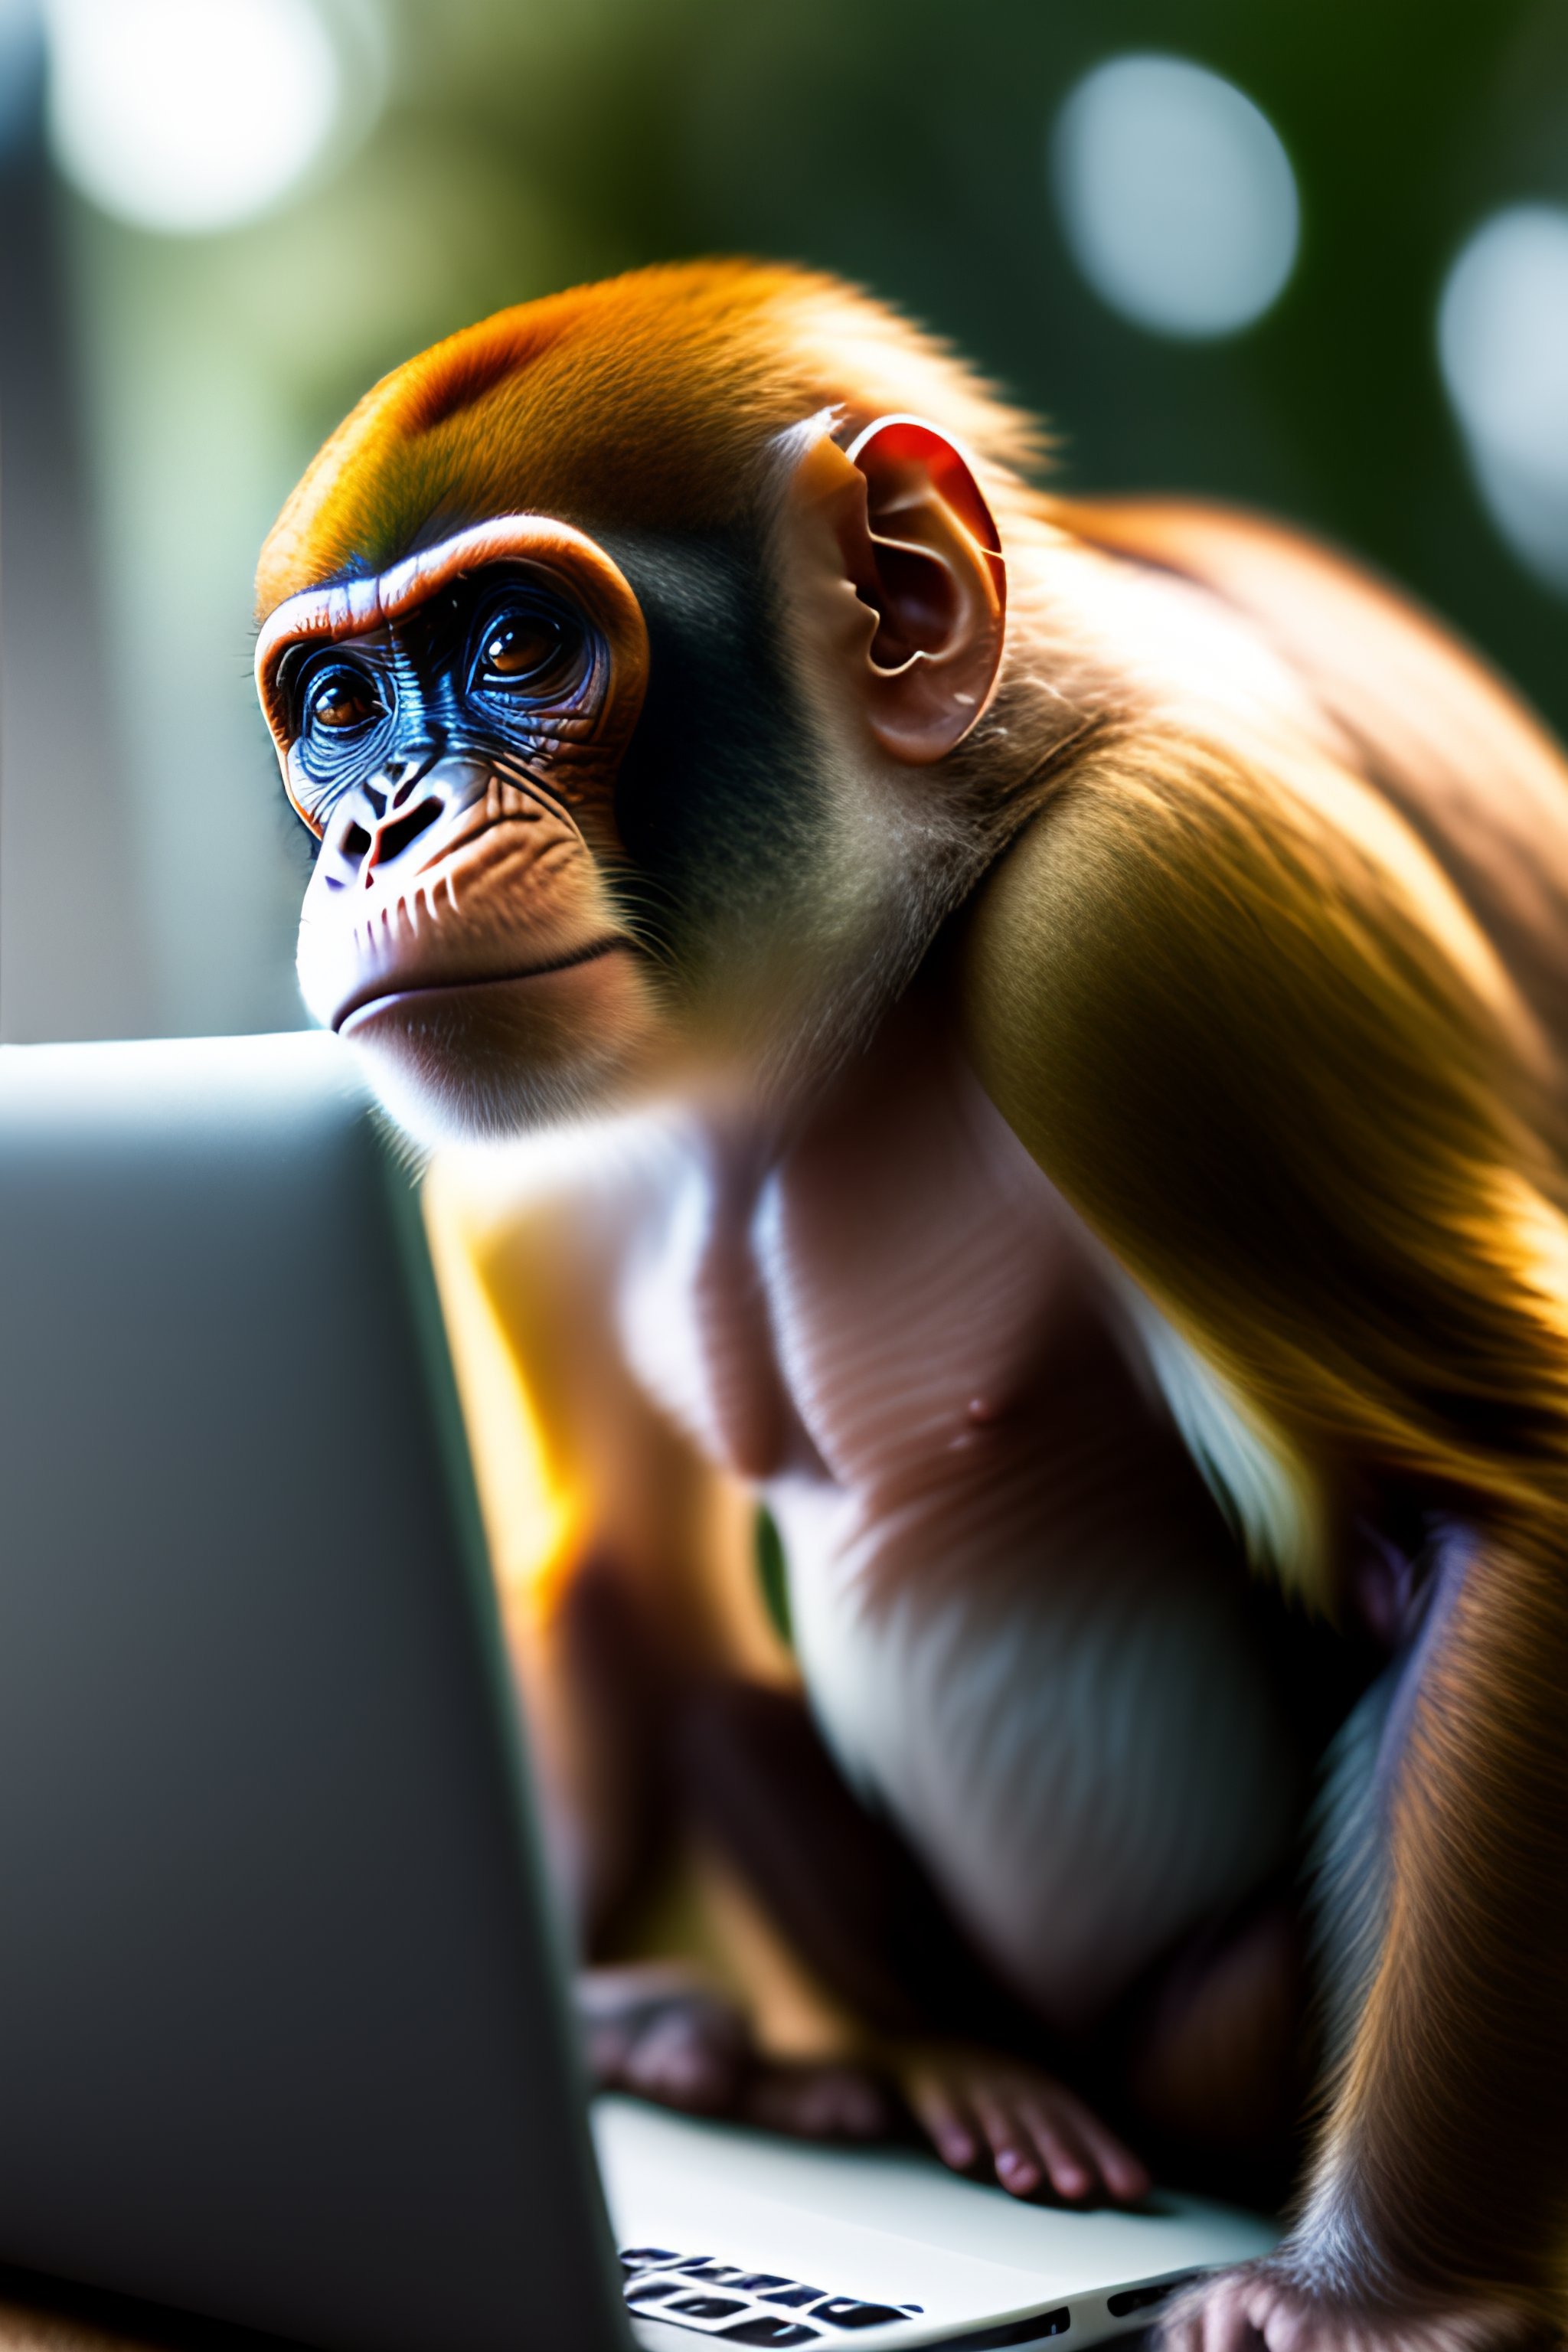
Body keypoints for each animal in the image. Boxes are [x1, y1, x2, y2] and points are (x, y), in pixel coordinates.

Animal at [253, 260, 1568, 2352]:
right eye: (336, 703)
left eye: (520, 640)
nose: (376, 821)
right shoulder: (521, 1159)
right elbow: (611, 1554)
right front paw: (605, 2006)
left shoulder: (1143, 918)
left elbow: (1491, 1505)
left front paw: (1368, 2298)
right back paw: (857, 2065)